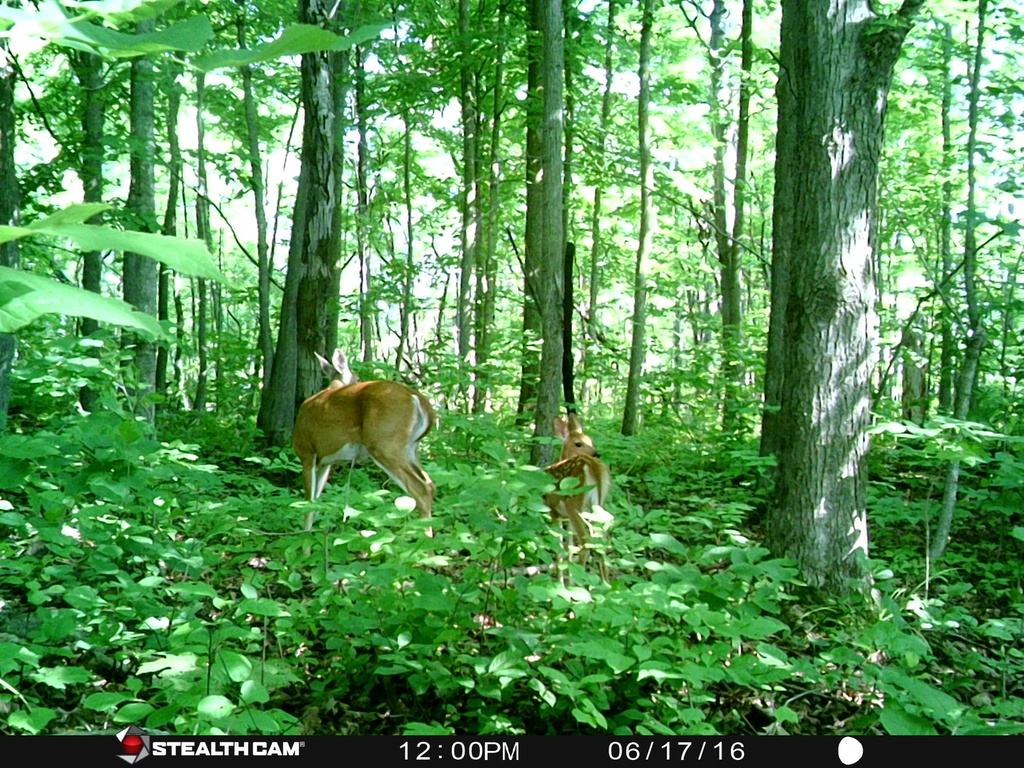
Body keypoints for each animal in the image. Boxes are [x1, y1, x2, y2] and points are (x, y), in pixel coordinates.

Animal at [292, 349, 436, 533]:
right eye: (358, 378)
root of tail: (419, 399)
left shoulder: (307, 453)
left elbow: (308, 505)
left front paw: (305, 538)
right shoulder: (325, 462)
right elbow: (316, 503)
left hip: (384, 444)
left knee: (421, 488)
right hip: (410, 449)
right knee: (430, 484)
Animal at [544, 413, 612, 581]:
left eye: (591, 441)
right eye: (578, 443)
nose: (597, 453)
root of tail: (594, 467)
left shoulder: (553, 510)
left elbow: (559, 548)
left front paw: (561, 582)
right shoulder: (567, 519)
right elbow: (569, 547)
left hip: (574, 503)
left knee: (585, 542)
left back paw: (581, 581)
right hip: (599, 505)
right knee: (602, 540)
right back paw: (606, 583)